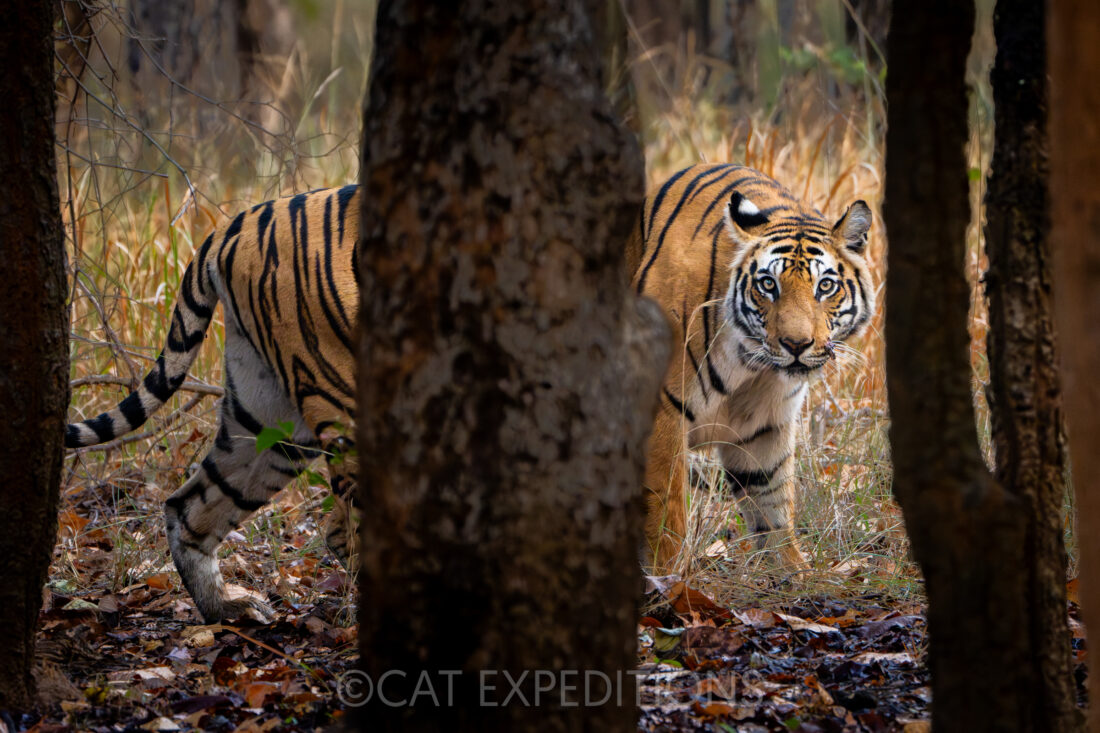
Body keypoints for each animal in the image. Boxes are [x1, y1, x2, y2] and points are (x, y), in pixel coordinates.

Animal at [626, 164, 875, 573]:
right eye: (768, 285)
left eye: (825, 286)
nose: (796, 345)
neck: (750, 362)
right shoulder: (661, 410)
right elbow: (667, 511)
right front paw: (670, 578)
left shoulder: (765, 424)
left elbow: (772, 503)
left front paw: (792, 572)